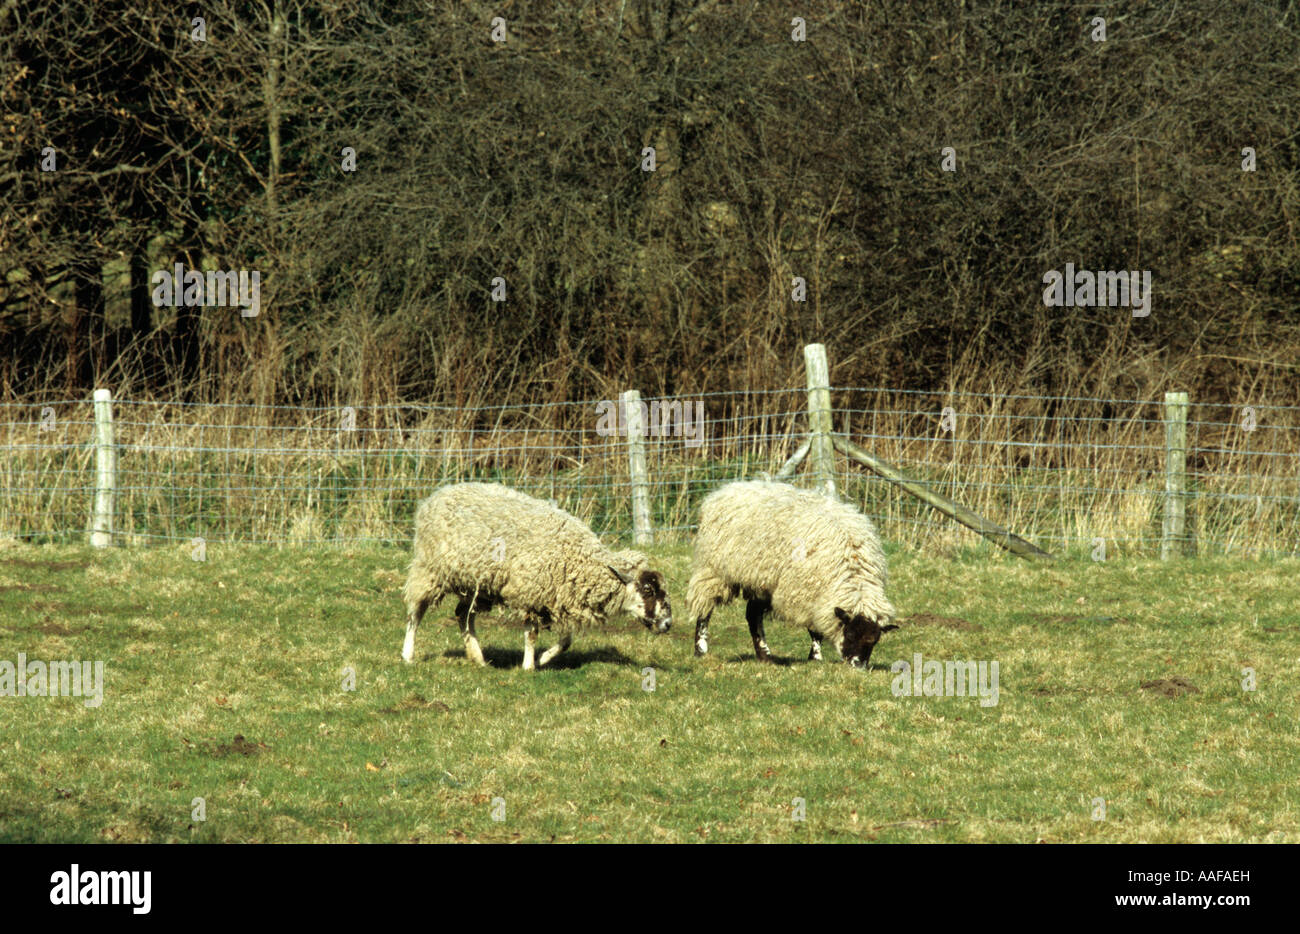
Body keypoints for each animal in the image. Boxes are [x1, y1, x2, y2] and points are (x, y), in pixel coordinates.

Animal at [400, 483, 672, 670]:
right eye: (647, 590)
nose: (668, 624)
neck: (579, 558)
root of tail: (437, 495)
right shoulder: (531, 593)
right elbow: (531, 634)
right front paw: (529, 665)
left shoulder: (557, 599)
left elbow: (567, 640)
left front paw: (543, 658)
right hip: (429, 571)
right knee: (416, 613)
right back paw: (408, 655)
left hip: (477, 584)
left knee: (462, 615)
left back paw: (478, 658)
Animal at [686, 480, 898, 668]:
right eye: (851, 634)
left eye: (875, 640)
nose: (858, 666)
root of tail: (724, 490)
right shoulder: (806, 592)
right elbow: (815, 629)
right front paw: (815, 657)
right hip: (713, 569)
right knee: (705, 607)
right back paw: (701, 649)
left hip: (764, 579)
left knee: (753, 615)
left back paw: (765, 656)